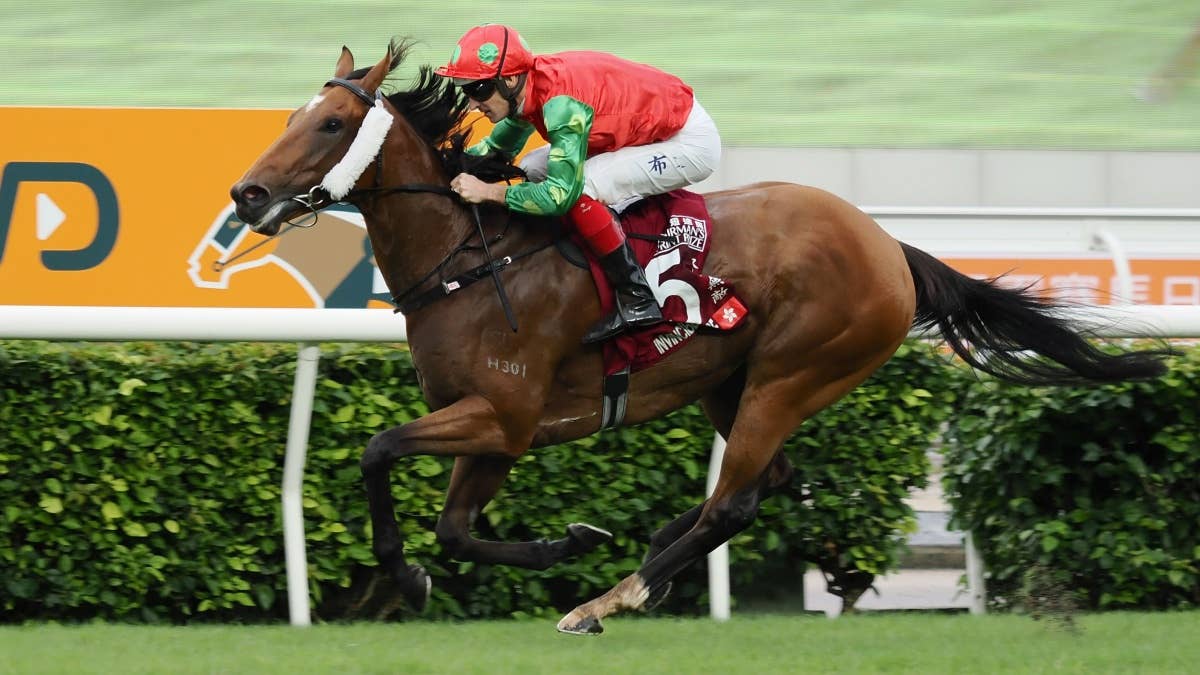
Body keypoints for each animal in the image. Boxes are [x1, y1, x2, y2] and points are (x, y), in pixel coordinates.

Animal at [230, 40, 1169, 634]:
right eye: (290, 115)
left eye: (327, 125)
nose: (245, 194)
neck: (472, 252)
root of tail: (888, 246)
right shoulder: (498, 426)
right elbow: (455, 527)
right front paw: (563, 540)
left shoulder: (501, 412)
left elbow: (378, 449)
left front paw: (407, 573)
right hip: (730, 381)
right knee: (760, 487)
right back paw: (647, 561)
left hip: (795, 371)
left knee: (734, 499)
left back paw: (612, 597)